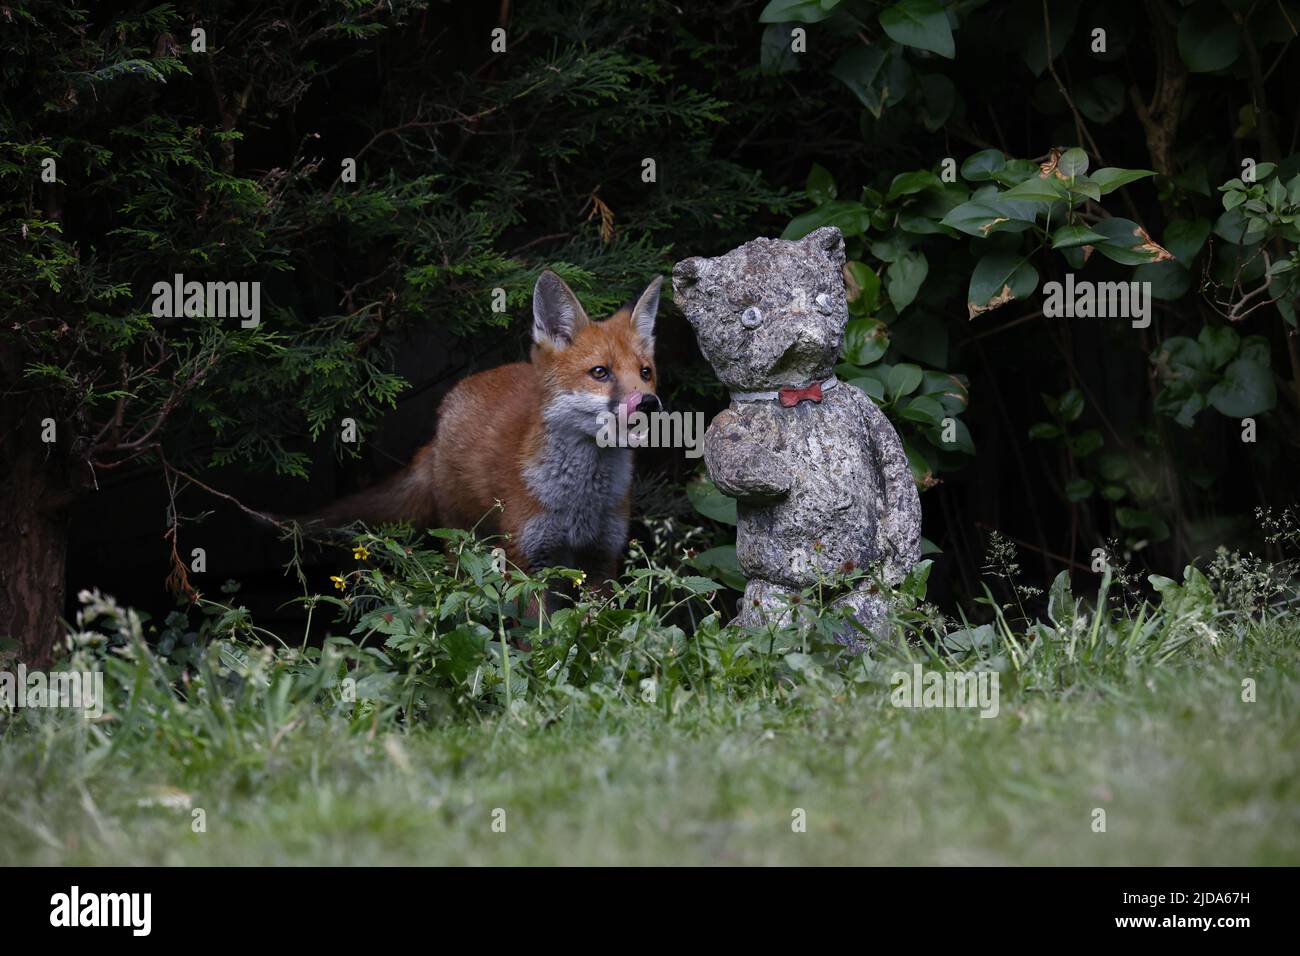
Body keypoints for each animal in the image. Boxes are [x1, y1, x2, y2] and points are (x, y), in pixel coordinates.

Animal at [301, 270, 663, 592]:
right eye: (600, 372)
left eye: (645, 372)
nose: (648, 403)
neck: (580, 502)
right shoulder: (526, 559)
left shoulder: (602, 558)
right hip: (464, 543)